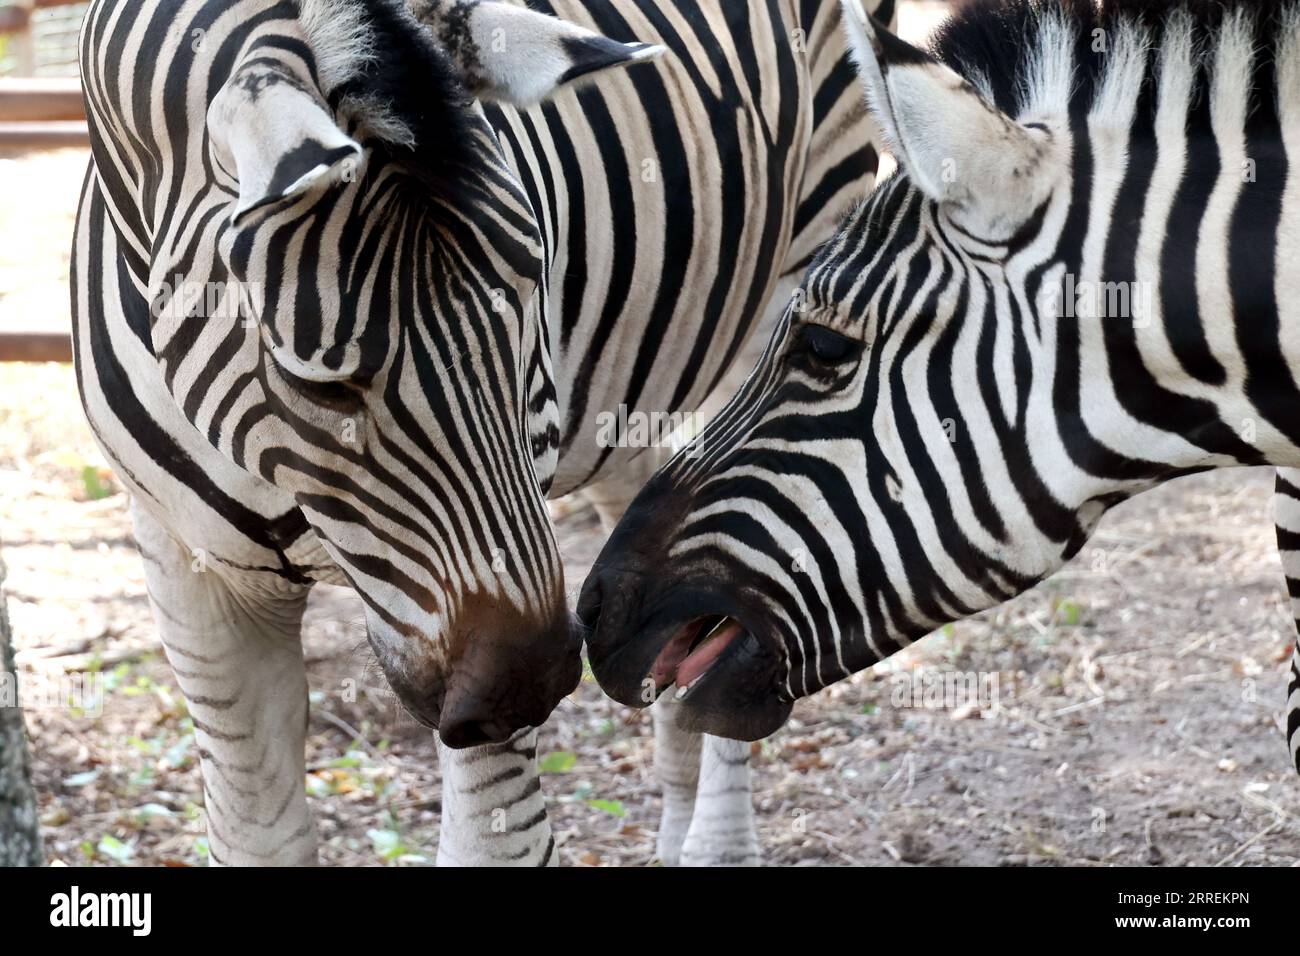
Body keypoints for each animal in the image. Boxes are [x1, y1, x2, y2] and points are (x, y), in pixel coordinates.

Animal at [73, 0, 883, 864]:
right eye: (316, 381)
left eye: (532, 297)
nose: (534, 686)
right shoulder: (186, 563)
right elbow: (257, 836)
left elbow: (497, 843)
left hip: (809, 234)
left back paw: (716, 842)